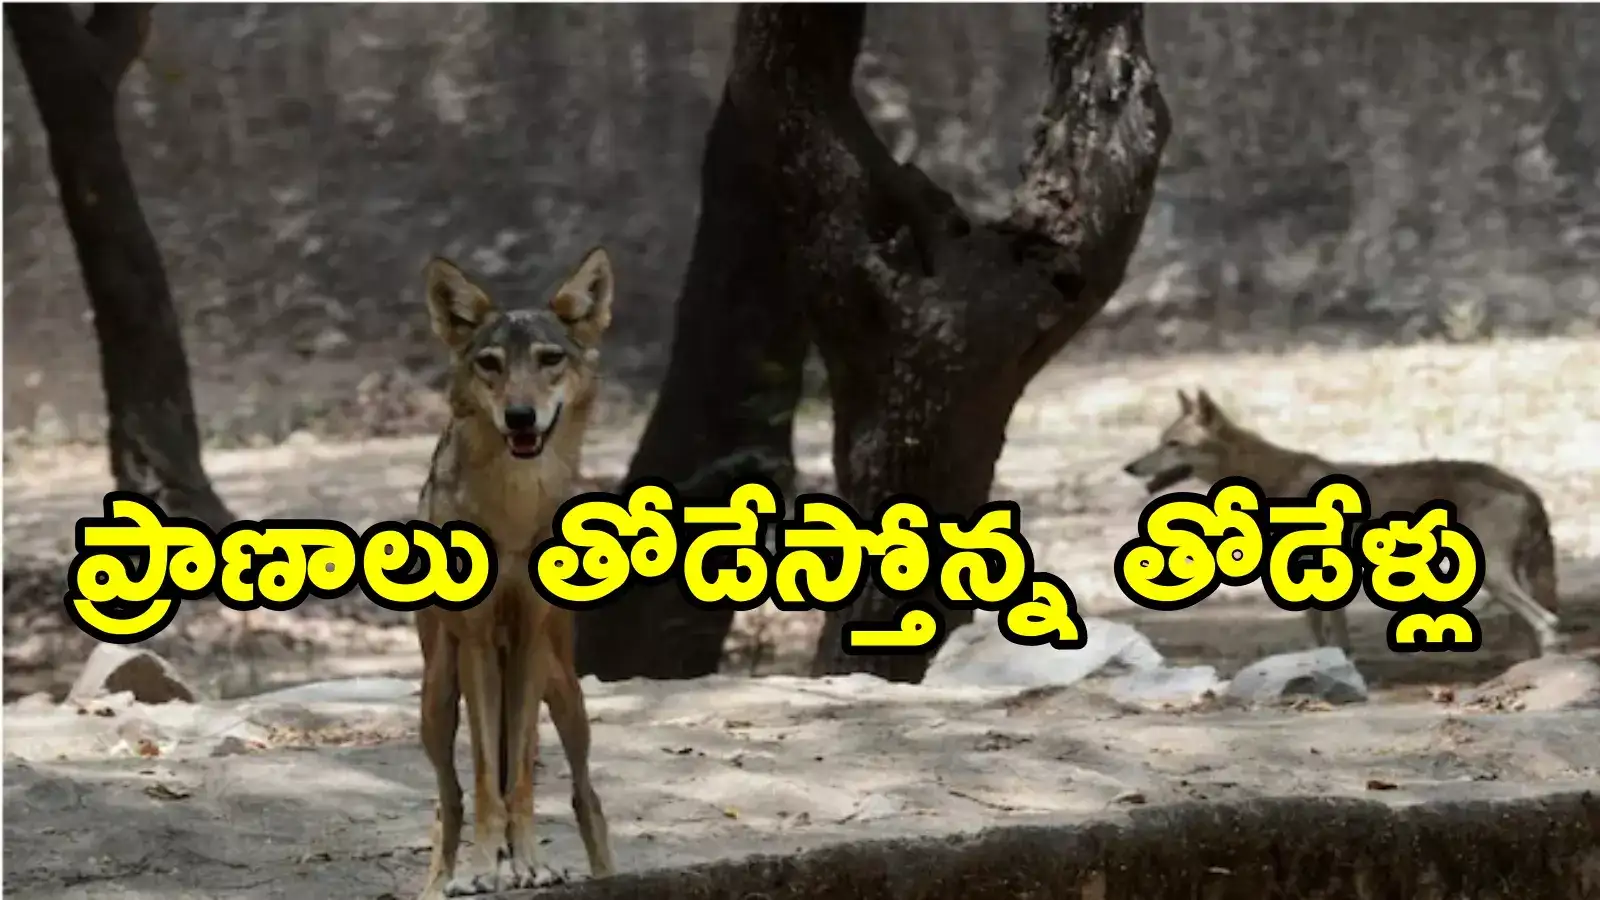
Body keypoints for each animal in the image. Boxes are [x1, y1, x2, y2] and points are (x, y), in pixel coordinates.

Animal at [412, 250, 616, 899]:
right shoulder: (477, 643)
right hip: (437, 696)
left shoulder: (527, 642)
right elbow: (483, 783)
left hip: (567, 693)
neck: (513, 509)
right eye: (491, 364)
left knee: (584, 795)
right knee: (447, 801)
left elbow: (520, 776)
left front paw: (527, 863)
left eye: (549, 360)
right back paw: (443, 881)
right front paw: (484, 867)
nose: (520, 416)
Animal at [1122, 388, 1566, 658]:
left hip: (1495, 579)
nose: (1129, 467)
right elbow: (1328, 634)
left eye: (1173, 444)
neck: (1272, 478)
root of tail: (1524, 486)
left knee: (1549, 623)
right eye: (1161, 441)